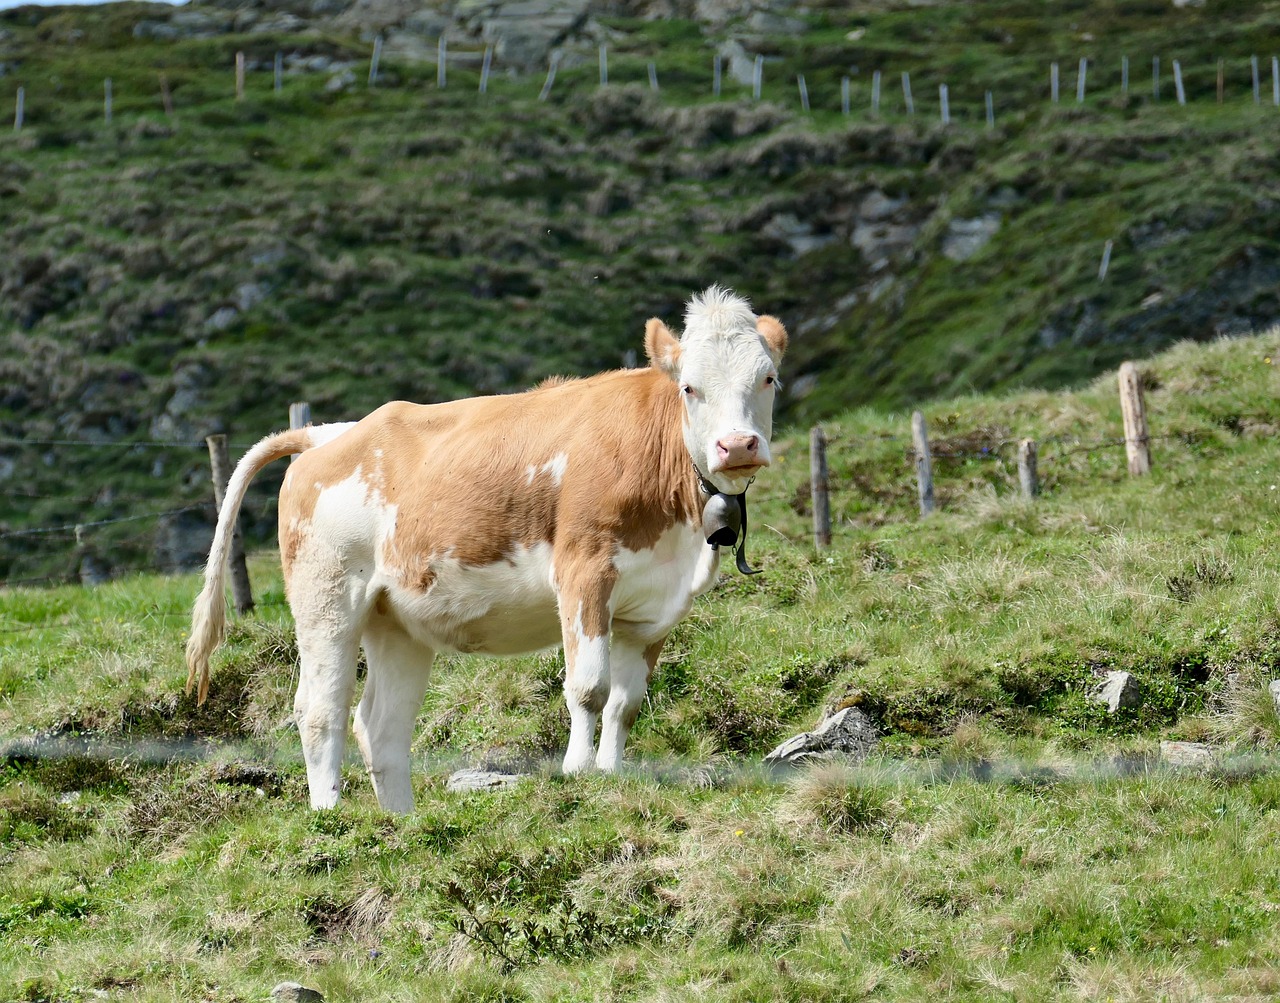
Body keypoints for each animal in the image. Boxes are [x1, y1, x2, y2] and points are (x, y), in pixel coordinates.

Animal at [185, 286, 788, 812]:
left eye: (768, 378)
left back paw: (400, 822)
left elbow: (625, 704)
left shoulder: (653, 608)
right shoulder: (585, 571)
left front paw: (613, 773)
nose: (737, 445)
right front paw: (577, 772)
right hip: (327, 597)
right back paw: (330, 816)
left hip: (393, 619)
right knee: (320, 711)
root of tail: (330, 432)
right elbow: (589, 688)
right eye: (689, 387)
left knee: (380, 726)